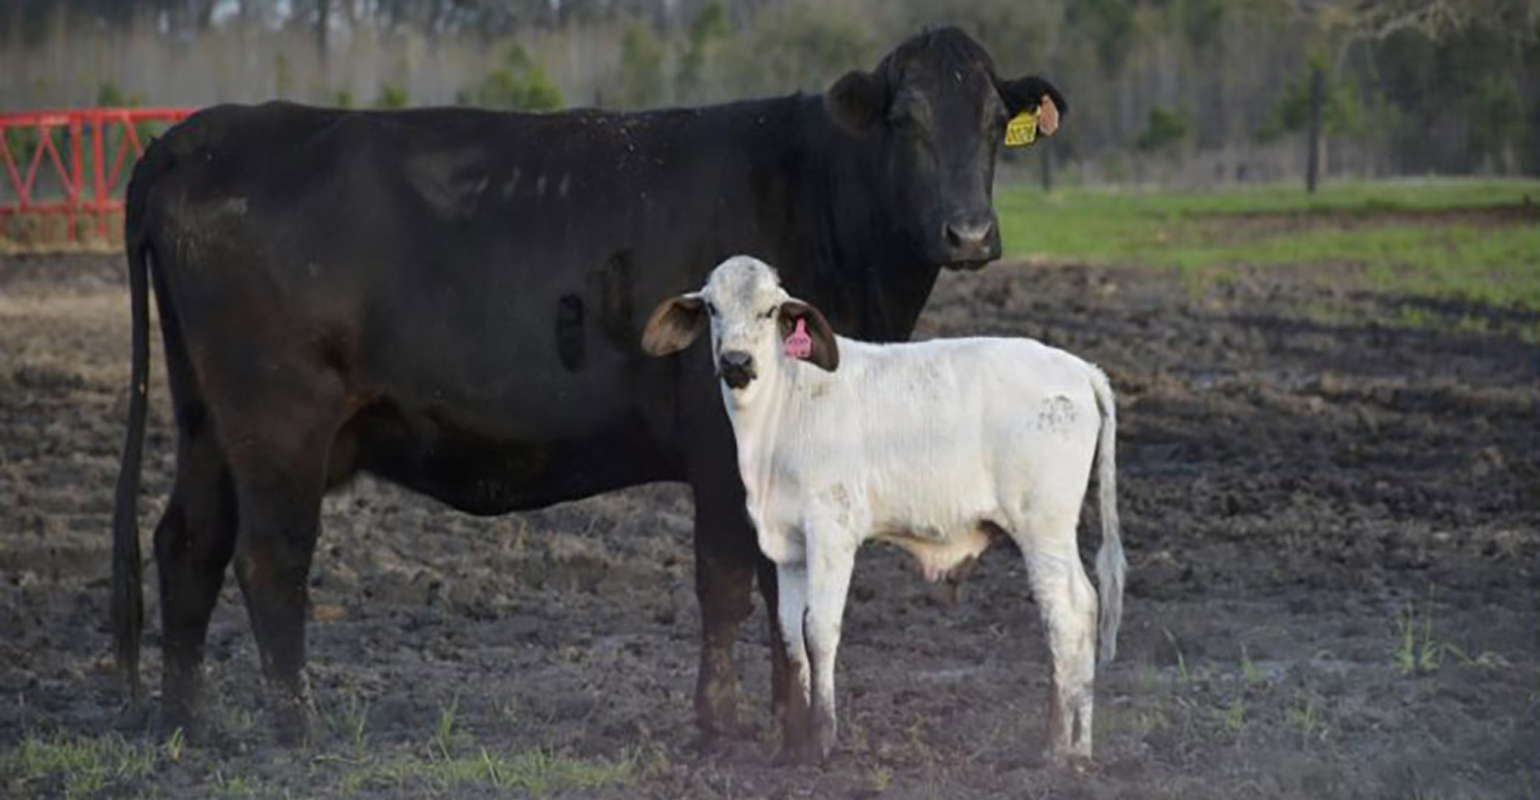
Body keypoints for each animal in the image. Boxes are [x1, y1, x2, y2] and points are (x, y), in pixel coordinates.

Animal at [111, 26, 1068, 745]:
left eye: (994, 121)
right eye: (906, 120)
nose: (970, 233)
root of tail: (201, 133)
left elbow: (779, 587)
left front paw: (791, 722)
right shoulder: (718, 442)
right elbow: (728, 580)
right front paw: (722, 726)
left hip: (206, 420)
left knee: (187, 543)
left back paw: (183, 728)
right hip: (280, 421)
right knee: (270, 558)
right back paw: (296, 730)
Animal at [641, 256, 1124, 765]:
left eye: (770, 311)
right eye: (712, 307)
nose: (736, 362)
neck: (783, 410)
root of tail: (1078, 368)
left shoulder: (833, 532)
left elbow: (820, 629)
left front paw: (822, 738)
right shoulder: (789, 547)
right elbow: (791, 634)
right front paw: (794, 744)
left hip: (1043, 529)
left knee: (1067, 613)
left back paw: (1059, 751)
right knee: (1086, 607)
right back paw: (1075, 745)